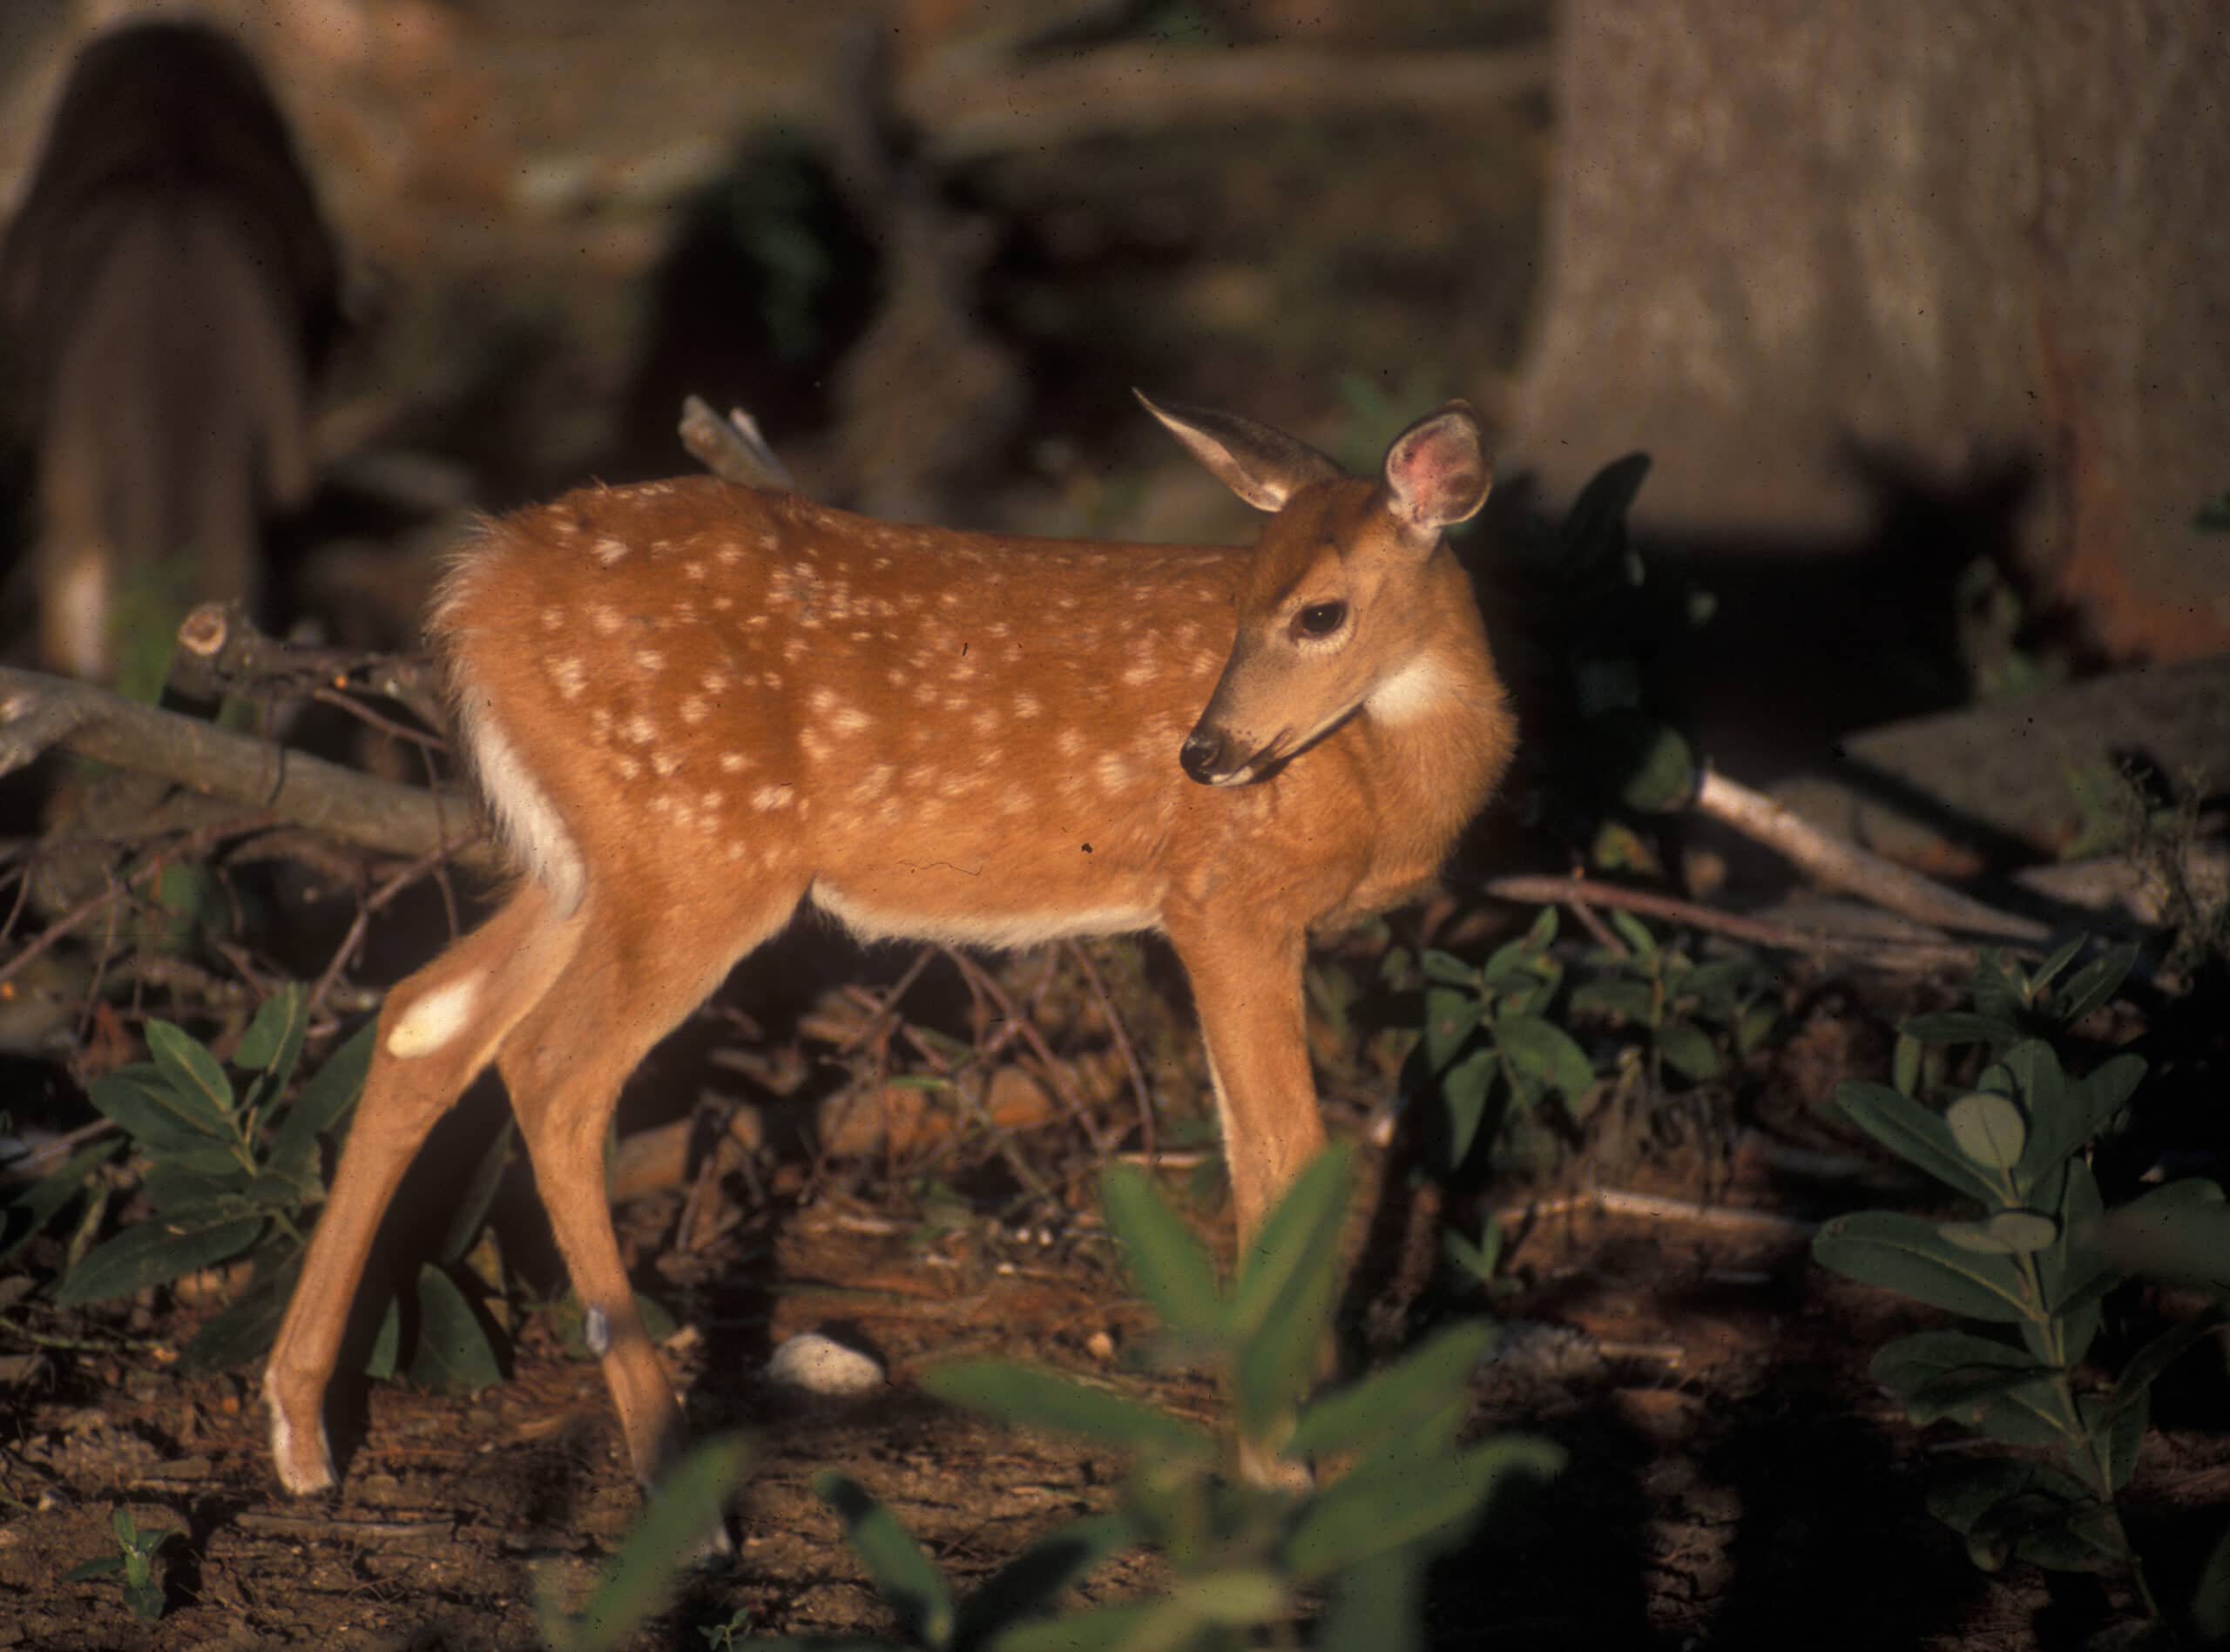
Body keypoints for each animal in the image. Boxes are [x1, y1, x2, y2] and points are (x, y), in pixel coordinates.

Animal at [262, 392, 1516, 1502]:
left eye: (1316, 611)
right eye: (1245, 598)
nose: (1205, 755)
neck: (1387, 784)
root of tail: (476, 585)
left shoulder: (1219, 916)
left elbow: (1263, 1153)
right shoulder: (1229, 899)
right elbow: (1288, 1157)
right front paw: (1292, 1458)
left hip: (586, 860)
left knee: (424, 1017)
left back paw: (301, 1433)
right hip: (703, 847)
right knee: (556, 1068)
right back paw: (668, 1467)